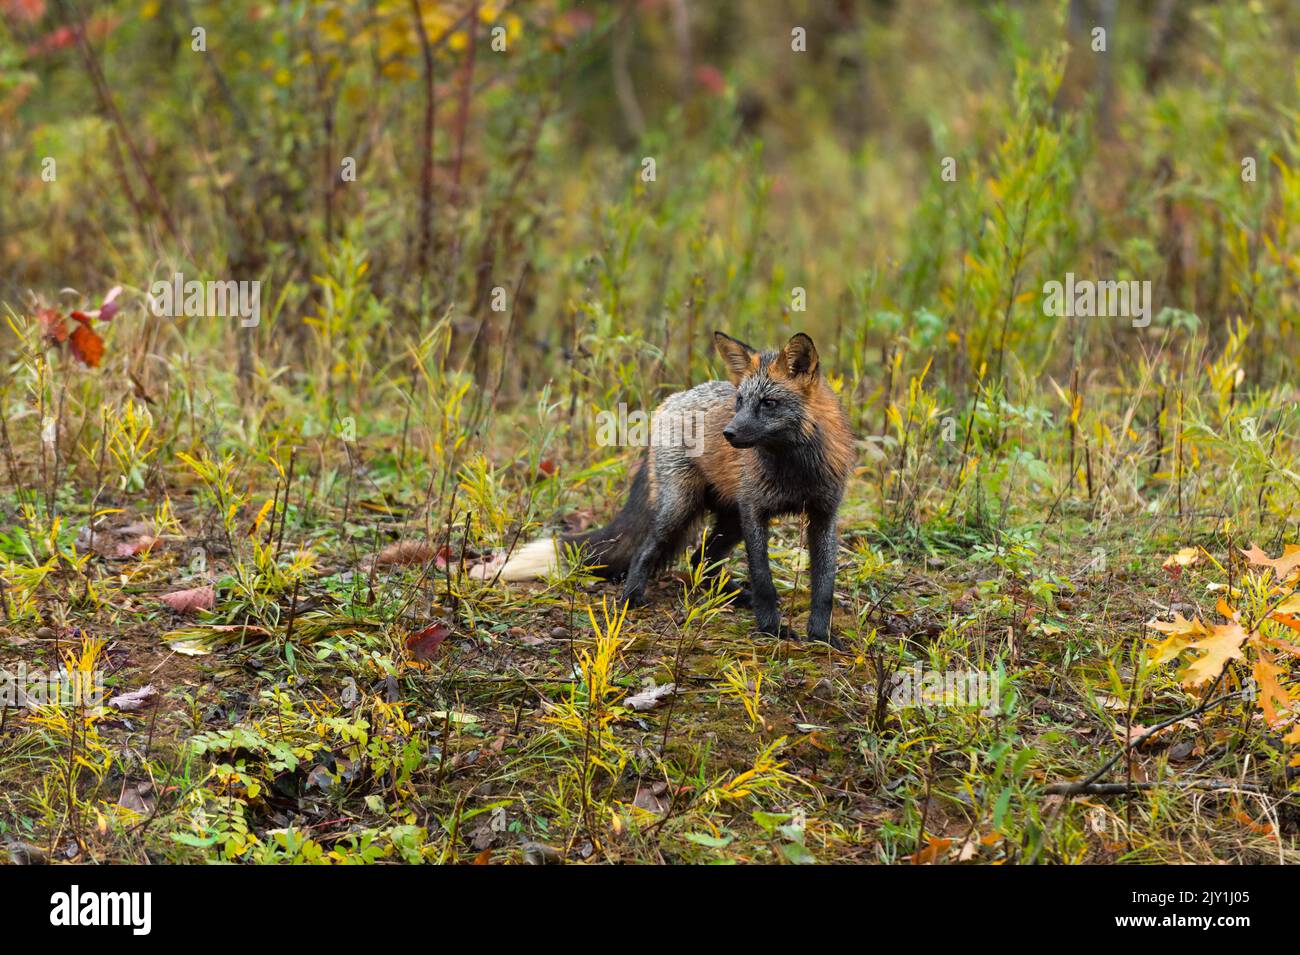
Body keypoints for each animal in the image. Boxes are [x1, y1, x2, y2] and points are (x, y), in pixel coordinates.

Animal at [486, 331, 855, 646]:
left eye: (768, 403)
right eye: (740, 401)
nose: (729, 433)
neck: (795, 471)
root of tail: (672, 399)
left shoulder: (824, 514)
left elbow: (824, 585)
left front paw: (820, 636)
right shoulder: (754, 510)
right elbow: (763, 578)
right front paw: (771, 628)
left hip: (728, 518)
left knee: (701, 559)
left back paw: (734, 597)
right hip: (681, 507)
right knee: (648, 550)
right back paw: (631, 599)